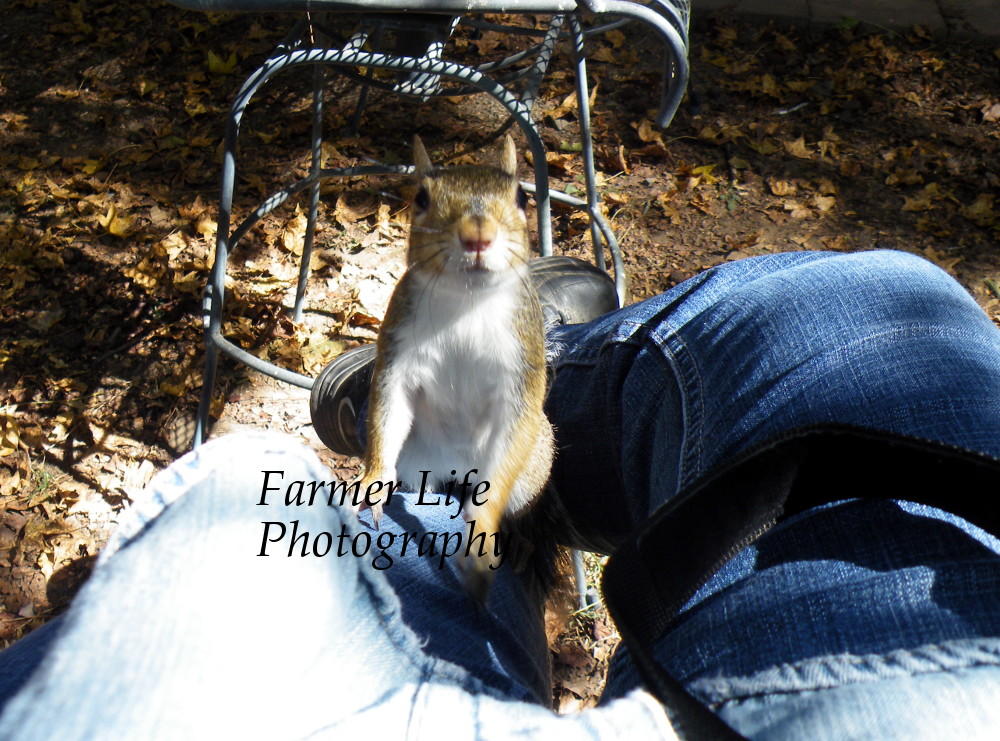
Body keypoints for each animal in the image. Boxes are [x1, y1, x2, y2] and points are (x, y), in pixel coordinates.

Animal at [358, 135, 555, 602]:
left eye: (522, 197)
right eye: (421, 199)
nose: (477, 235)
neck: (467, 301)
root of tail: (456, 468)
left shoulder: (523, 368)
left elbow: (514, 428)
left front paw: (481, 538)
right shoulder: (398, 351)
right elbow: (387, 410)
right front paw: (373, 481)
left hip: (532, 469)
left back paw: (520, 544)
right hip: (416, 461)